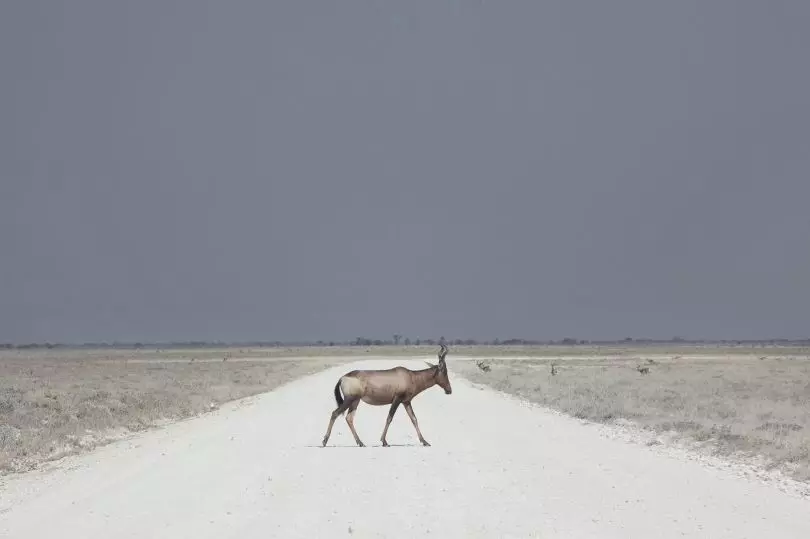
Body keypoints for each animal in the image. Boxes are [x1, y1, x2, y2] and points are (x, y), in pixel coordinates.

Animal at [318, 346, 452, 448]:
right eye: (444, 372)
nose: (449, 390)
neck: (410, 376)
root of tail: (343, 378)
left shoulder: (406, 402)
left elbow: (414, 419)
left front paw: (425, 442)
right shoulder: (397, 399)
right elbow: (389, 418)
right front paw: (384, 442)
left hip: (355, 401)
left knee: (349, 418)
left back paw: (361, 443)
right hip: (349, 399)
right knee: (335, 413)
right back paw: (324, 441)